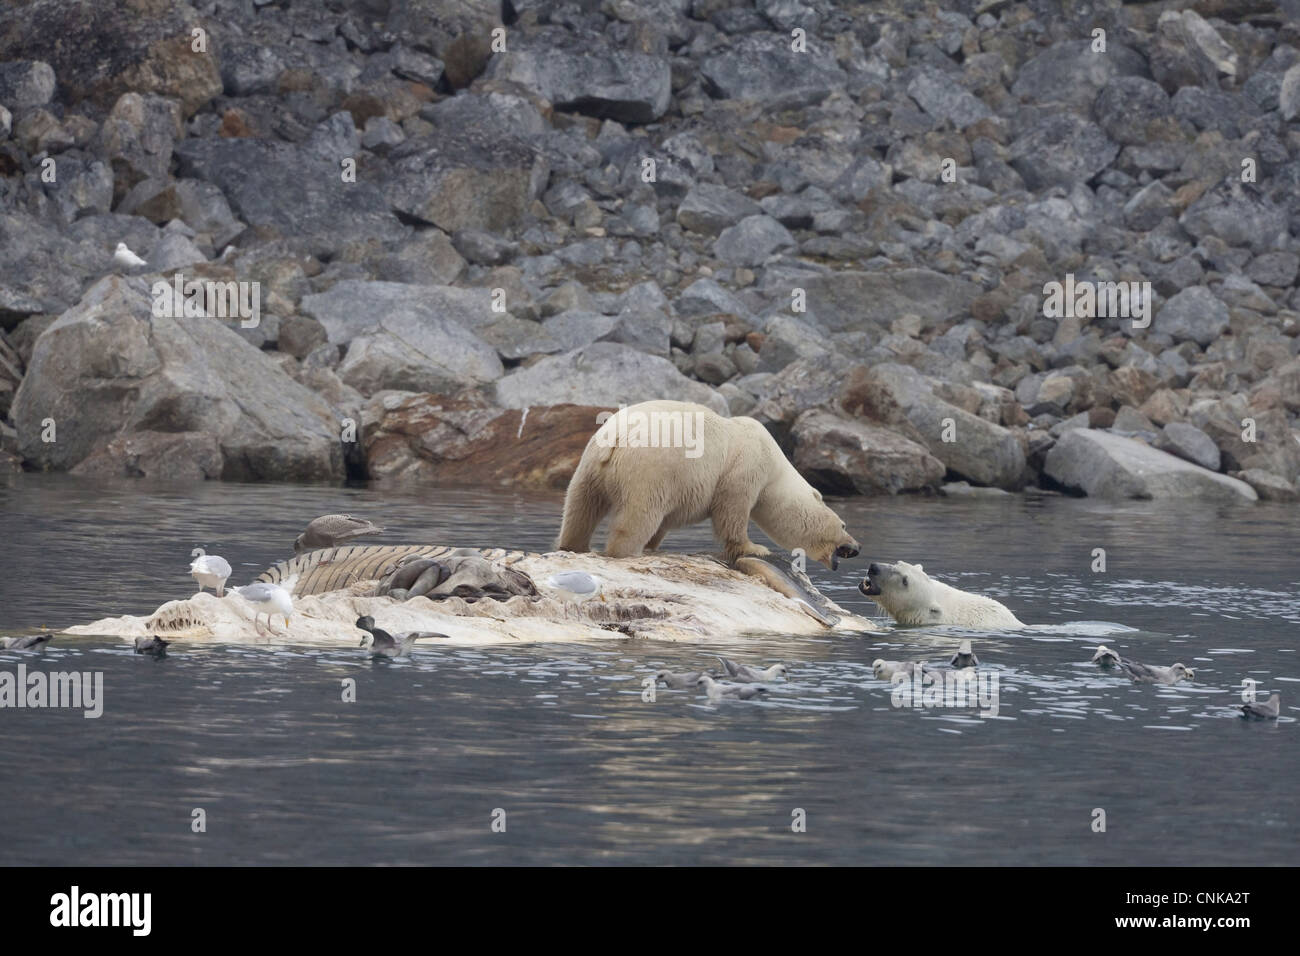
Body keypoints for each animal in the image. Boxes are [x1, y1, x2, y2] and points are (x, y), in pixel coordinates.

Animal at [557, 400, 861, 569]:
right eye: (844, 525)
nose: (856, 547)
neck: (775, 463)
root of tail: (617, 438)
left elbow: (666, 522)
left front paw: (655, 544)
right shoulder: (745, 467)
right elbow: (732, 510)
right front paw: (755, 548)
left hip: (590, 466)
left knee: (580, 508)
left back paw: (573, 545)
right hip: (650, 469)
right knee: (638, 516)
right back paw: (627, 552)